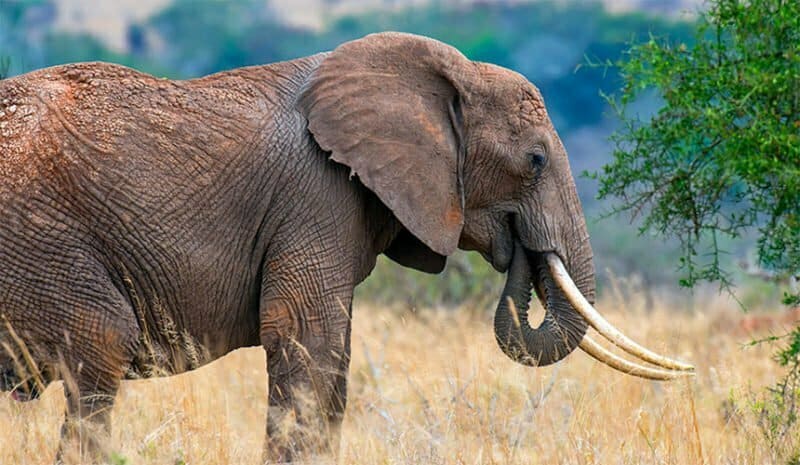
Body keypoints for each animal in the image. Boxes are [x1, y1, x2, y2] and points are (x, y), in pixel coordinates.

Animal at [0, 32, 693, 463]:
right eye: (536, 160)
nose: (518, 250)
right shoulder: (316, 195)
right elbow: (309, 339)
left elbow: (333, 360)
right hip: (40, 239)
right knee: (102, 346)